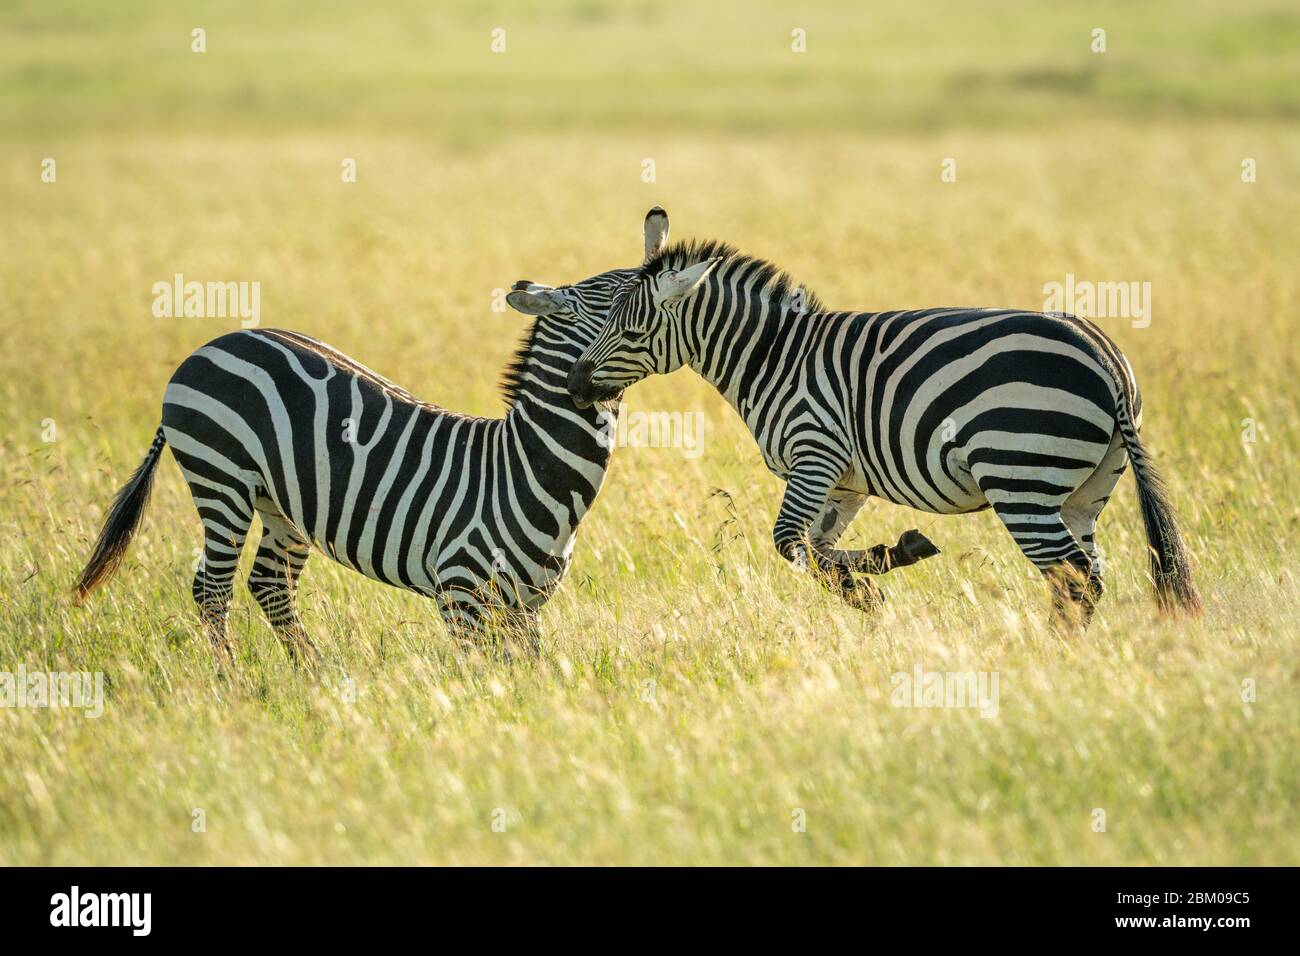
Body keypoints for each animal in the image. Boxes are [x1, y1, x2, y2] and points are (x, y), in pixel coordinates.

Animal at [72, 261, 646, 665]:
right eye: (623, 292)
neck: (524, 465)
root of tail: (205, 348)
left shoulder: (526, 603)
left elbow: (532, 670)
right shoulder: (459, 591)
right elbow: (481, 675)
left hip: (281, 502)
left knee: (270, 584)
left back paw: (315, 674)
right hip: (221, 478)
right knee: (212, 590)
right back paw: (230, 682)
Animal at [565, 207, 1201, 626]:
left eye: (632, 332)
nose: (574, 386)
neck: (775, 356)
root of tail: (1103, 355)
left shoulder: (815, 451)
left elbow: (788, 541)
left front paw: (866, 591)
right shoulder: (844, 481)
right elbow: (816, 549)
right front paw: (889, 563)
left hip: (1020, 477)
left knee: (1074, 576)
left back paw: (1052, 658)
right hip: (1086, 489)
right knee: (1084, 576)